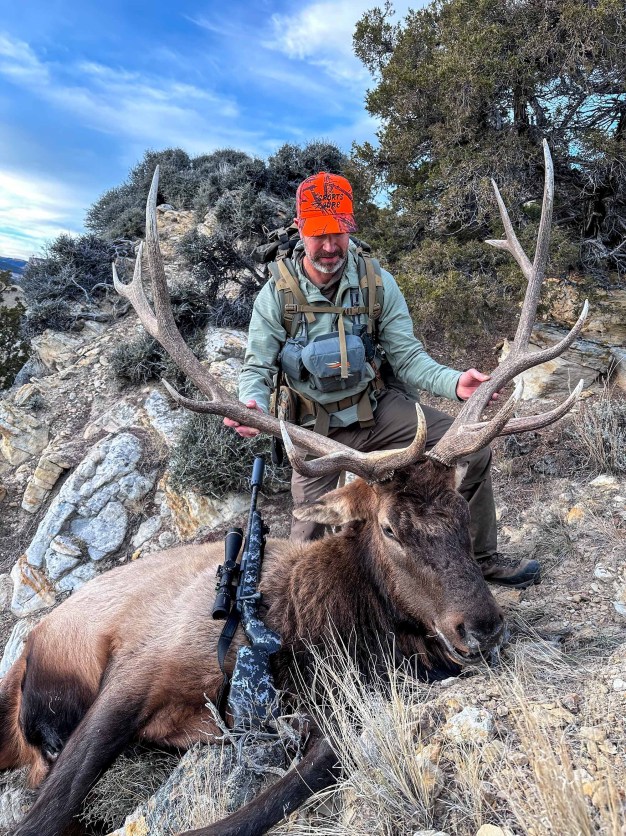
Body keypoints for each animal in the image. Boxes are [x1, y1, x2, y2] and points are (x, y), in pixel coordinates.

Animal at [0, 140, 587, 836]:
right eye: (390, 527)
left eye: (459, 509)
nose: (484, 629)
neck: (307, 632)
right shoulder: (137, 669)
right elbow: (50, 808)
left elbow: (295, 781)